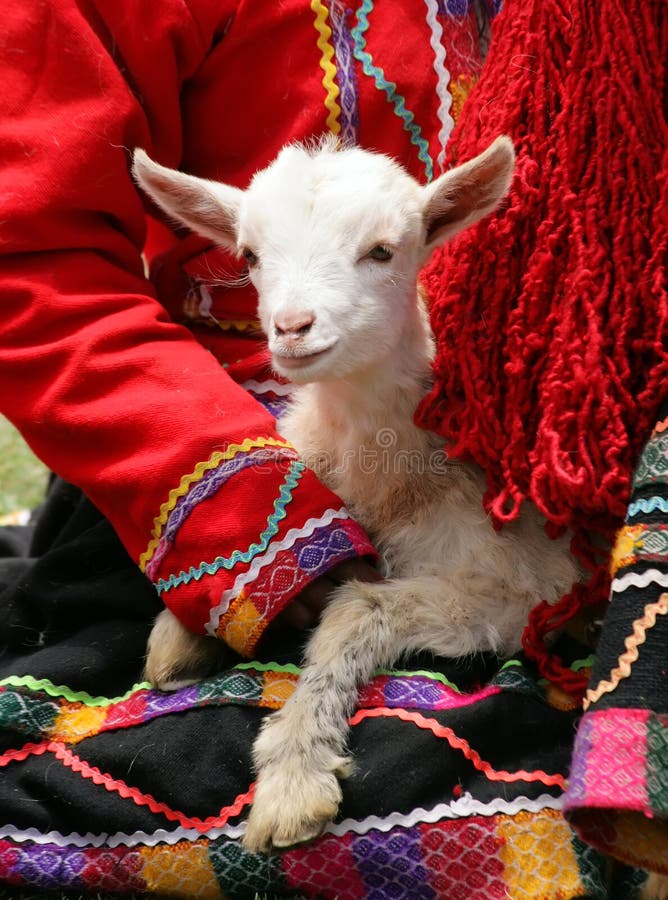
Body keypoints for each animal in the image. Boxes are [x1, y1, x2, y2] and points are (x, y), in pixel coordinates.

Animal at [132, 136, 581, 853]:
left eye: (382, 251)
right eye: (250, 255)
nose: (292, 327)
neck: (387, 471)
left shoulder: (526, 588)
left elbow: (356, 609)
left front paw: (293, 773)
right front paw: (180, 634)